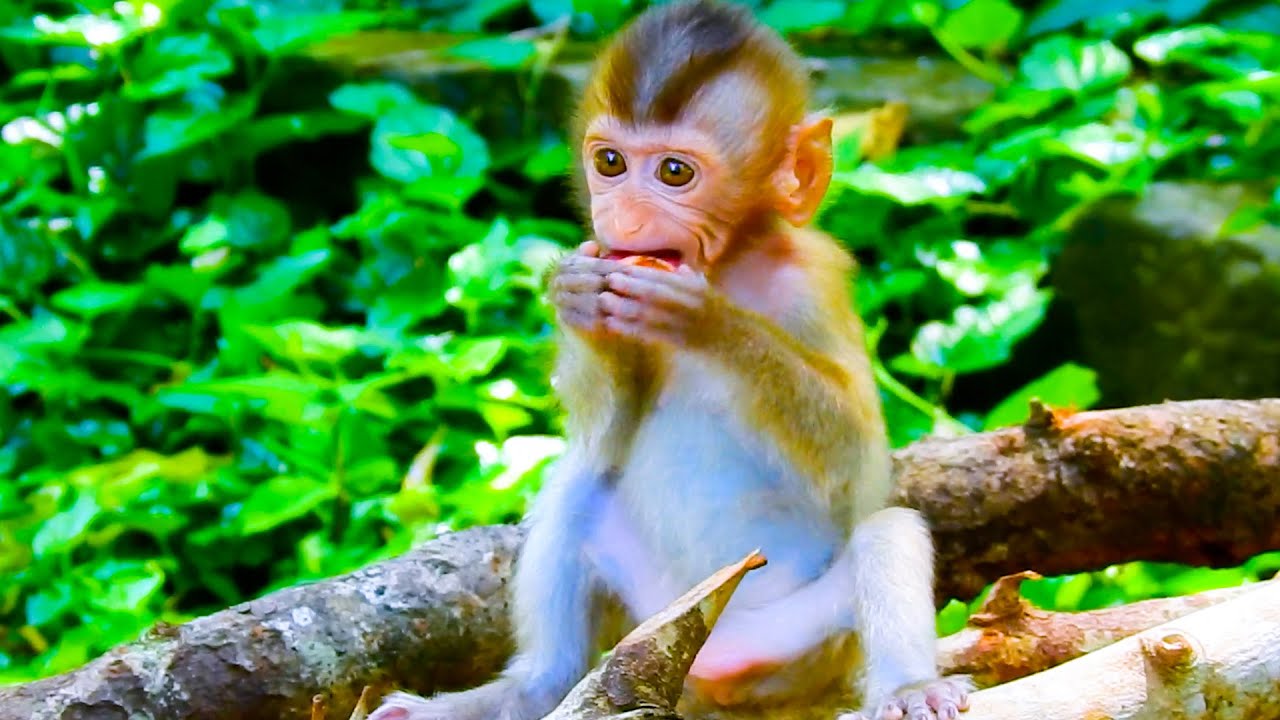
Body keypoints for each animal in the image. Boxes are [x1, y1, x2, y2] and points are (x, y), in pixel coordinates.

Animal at [369, 2, 971, 719]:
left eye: (675, 173)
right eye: (609, 162)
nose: (623, 224)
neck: (731, 262)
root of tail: (714, 663)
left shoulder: (814, 281)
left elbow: (857, 465)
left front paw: (702, 319)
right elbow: (604, 439)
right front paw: (577, 299)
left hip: (805, 648)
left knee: (888, 532)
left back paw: (908, 688)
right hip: (658, 605)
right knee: (578, 488)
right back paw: (523, 689)